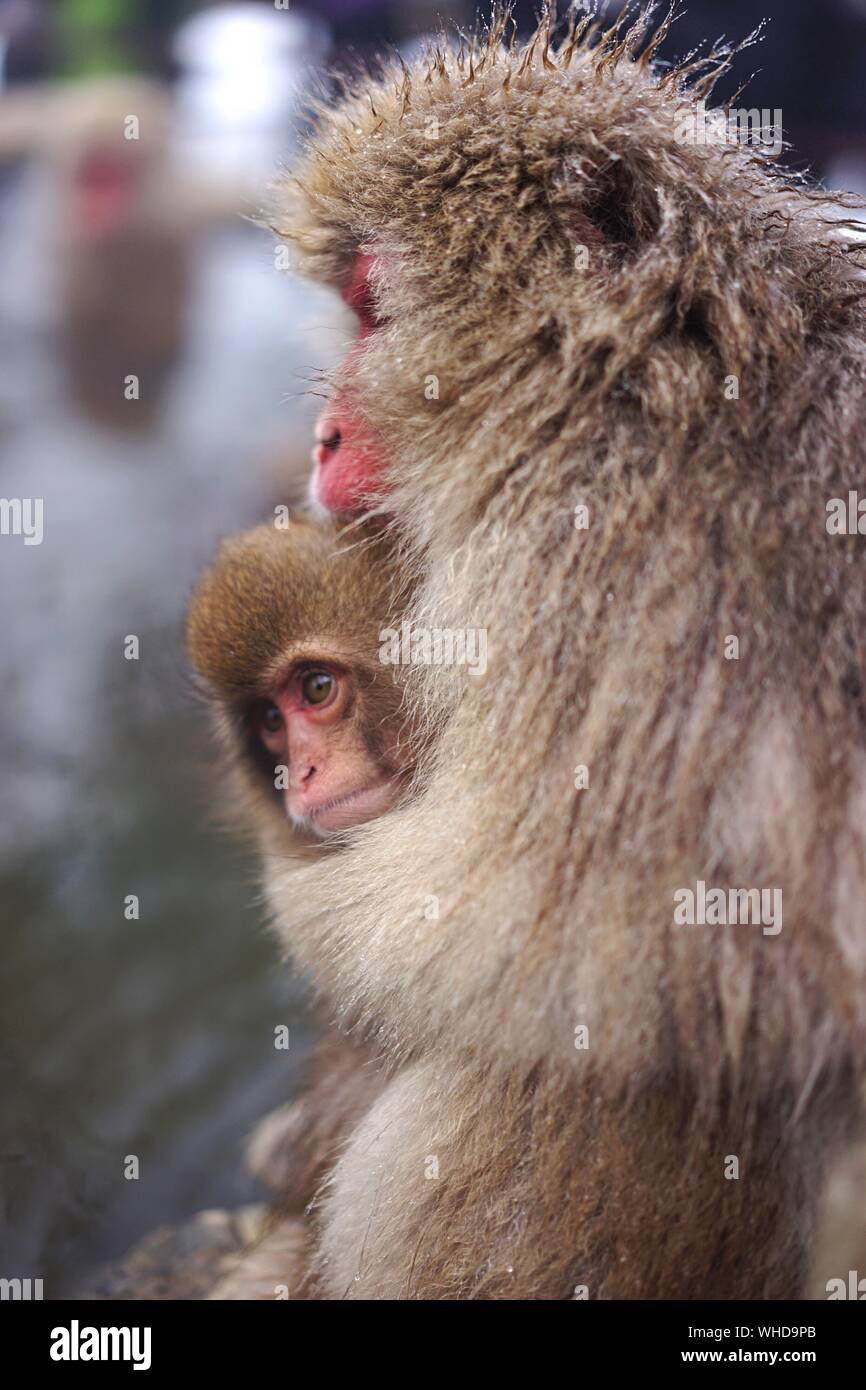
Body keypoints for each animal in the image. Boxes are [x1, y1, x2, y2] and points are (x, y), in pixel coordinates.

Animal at [219, 6, 866, 1299]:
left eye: (370, 305)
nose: (319, 438)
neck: (652, 370)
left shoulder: (601, 570)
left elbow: (533, 919)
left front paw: (293, 892)